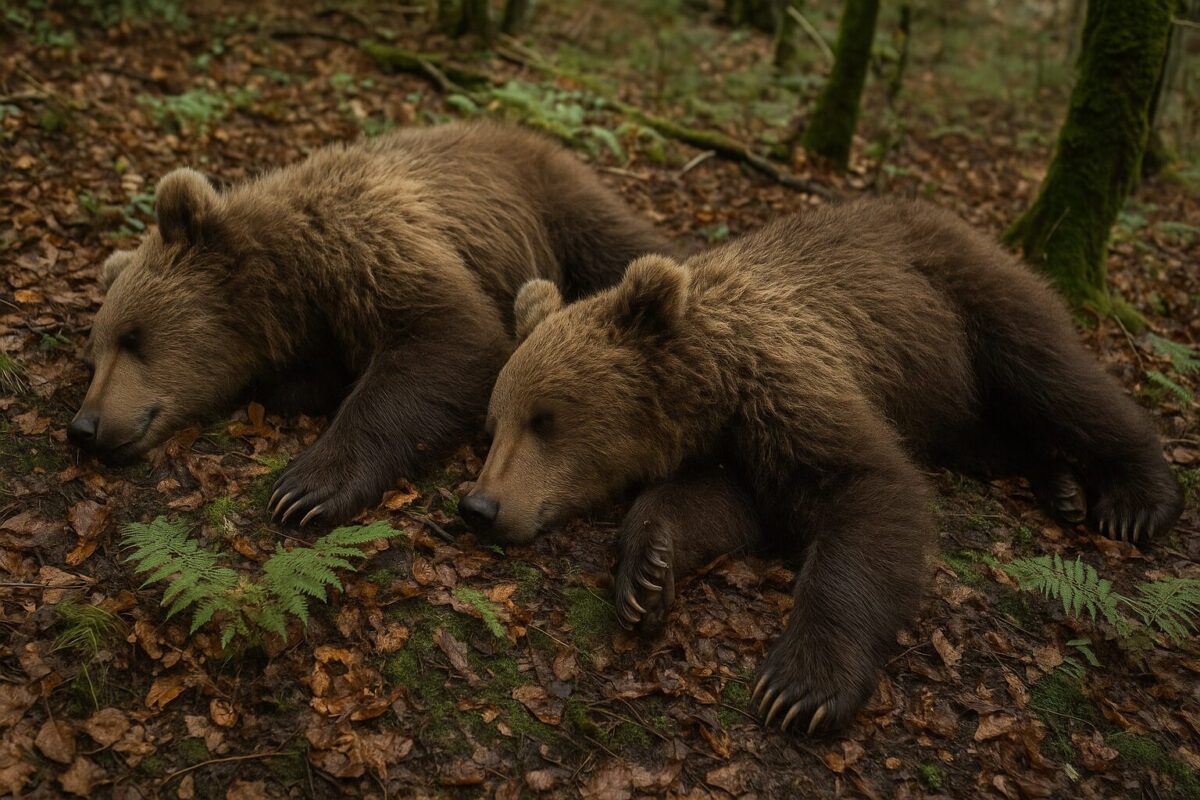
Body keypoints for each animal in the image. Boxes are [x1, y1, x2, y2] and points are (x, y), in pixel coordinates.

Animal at [69, 121, 671, 526]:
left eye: (133, 337)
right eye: (94, 356)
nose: (85, 426)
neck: (290, 281)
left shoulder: (372, 246)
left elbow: (450, 341)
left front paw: (304, 490)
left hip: (556, 206)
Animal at [458, 198, 1184, 735]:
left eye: (545, 418)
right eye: (493, 426)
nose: (479, 506)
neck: (714, 391)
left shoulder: (793, 392)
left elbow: (867, 491)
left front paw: (800, 686)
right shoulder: (738, 449)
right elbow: (714, 506)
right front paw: (647, 573)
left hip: (966, 305)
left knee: (1057, 381)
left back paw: (1136, 498)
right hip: (941, 391)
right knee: (993, 433)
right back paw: (1059, 485)